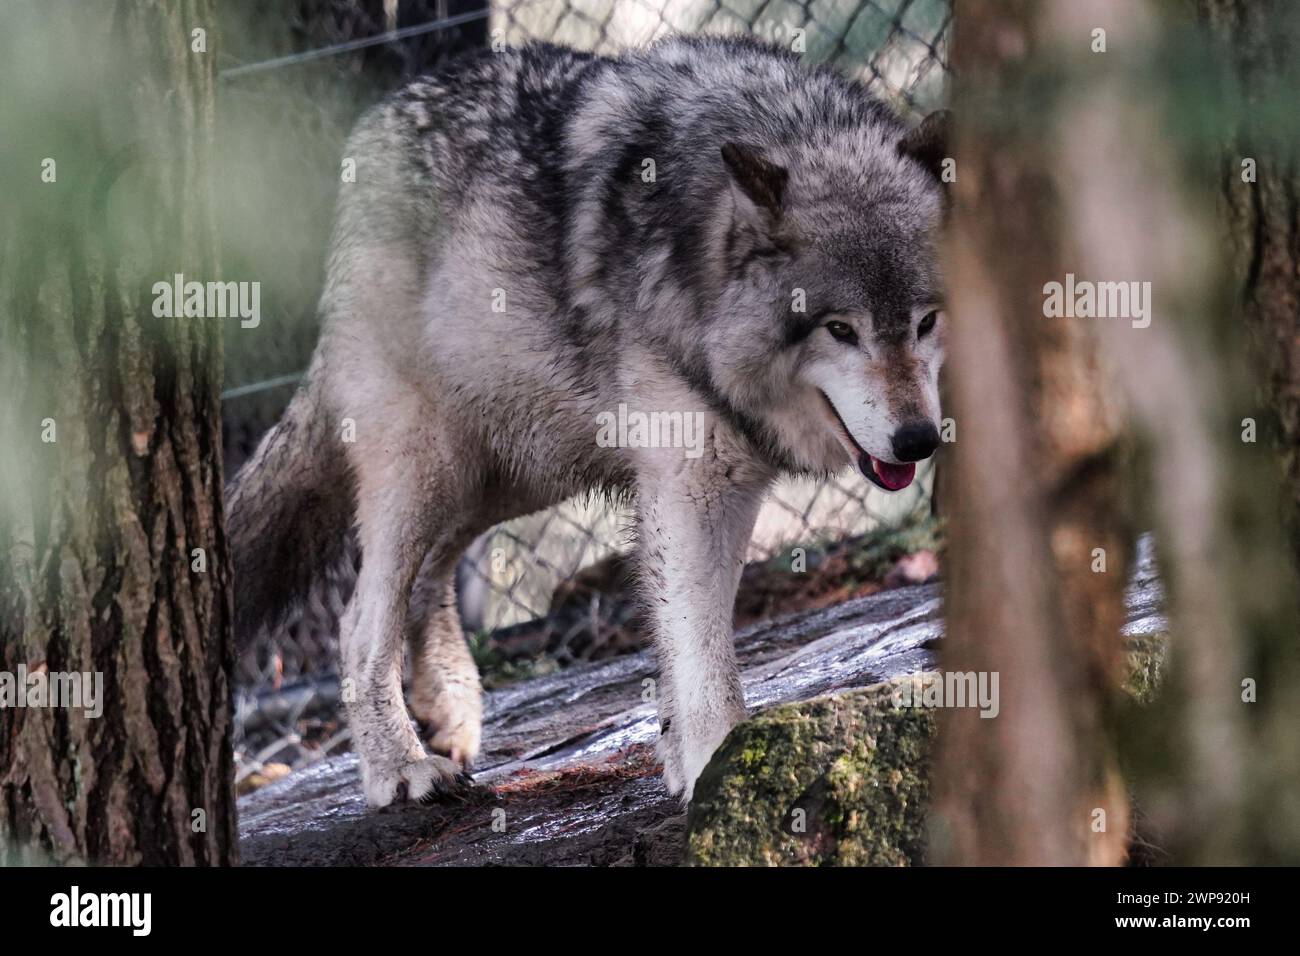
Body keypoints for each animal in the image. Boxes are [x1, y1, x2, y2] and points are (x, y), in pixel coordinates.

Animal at [227, 35, 950, 807]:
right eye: (840, 330)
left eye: (925, 322)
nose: (917, 440)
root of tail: (369, 135)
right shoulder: (693, 485)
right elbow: (703, 654)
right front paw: (718, 769)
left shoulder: (717, 484)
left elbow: (686, 639)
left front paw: (681, 756)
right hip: (429, 465)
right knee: (358, 619)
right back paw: (400, 768)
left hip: (508, 471)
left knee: (426, 578)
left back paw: (449, 711)